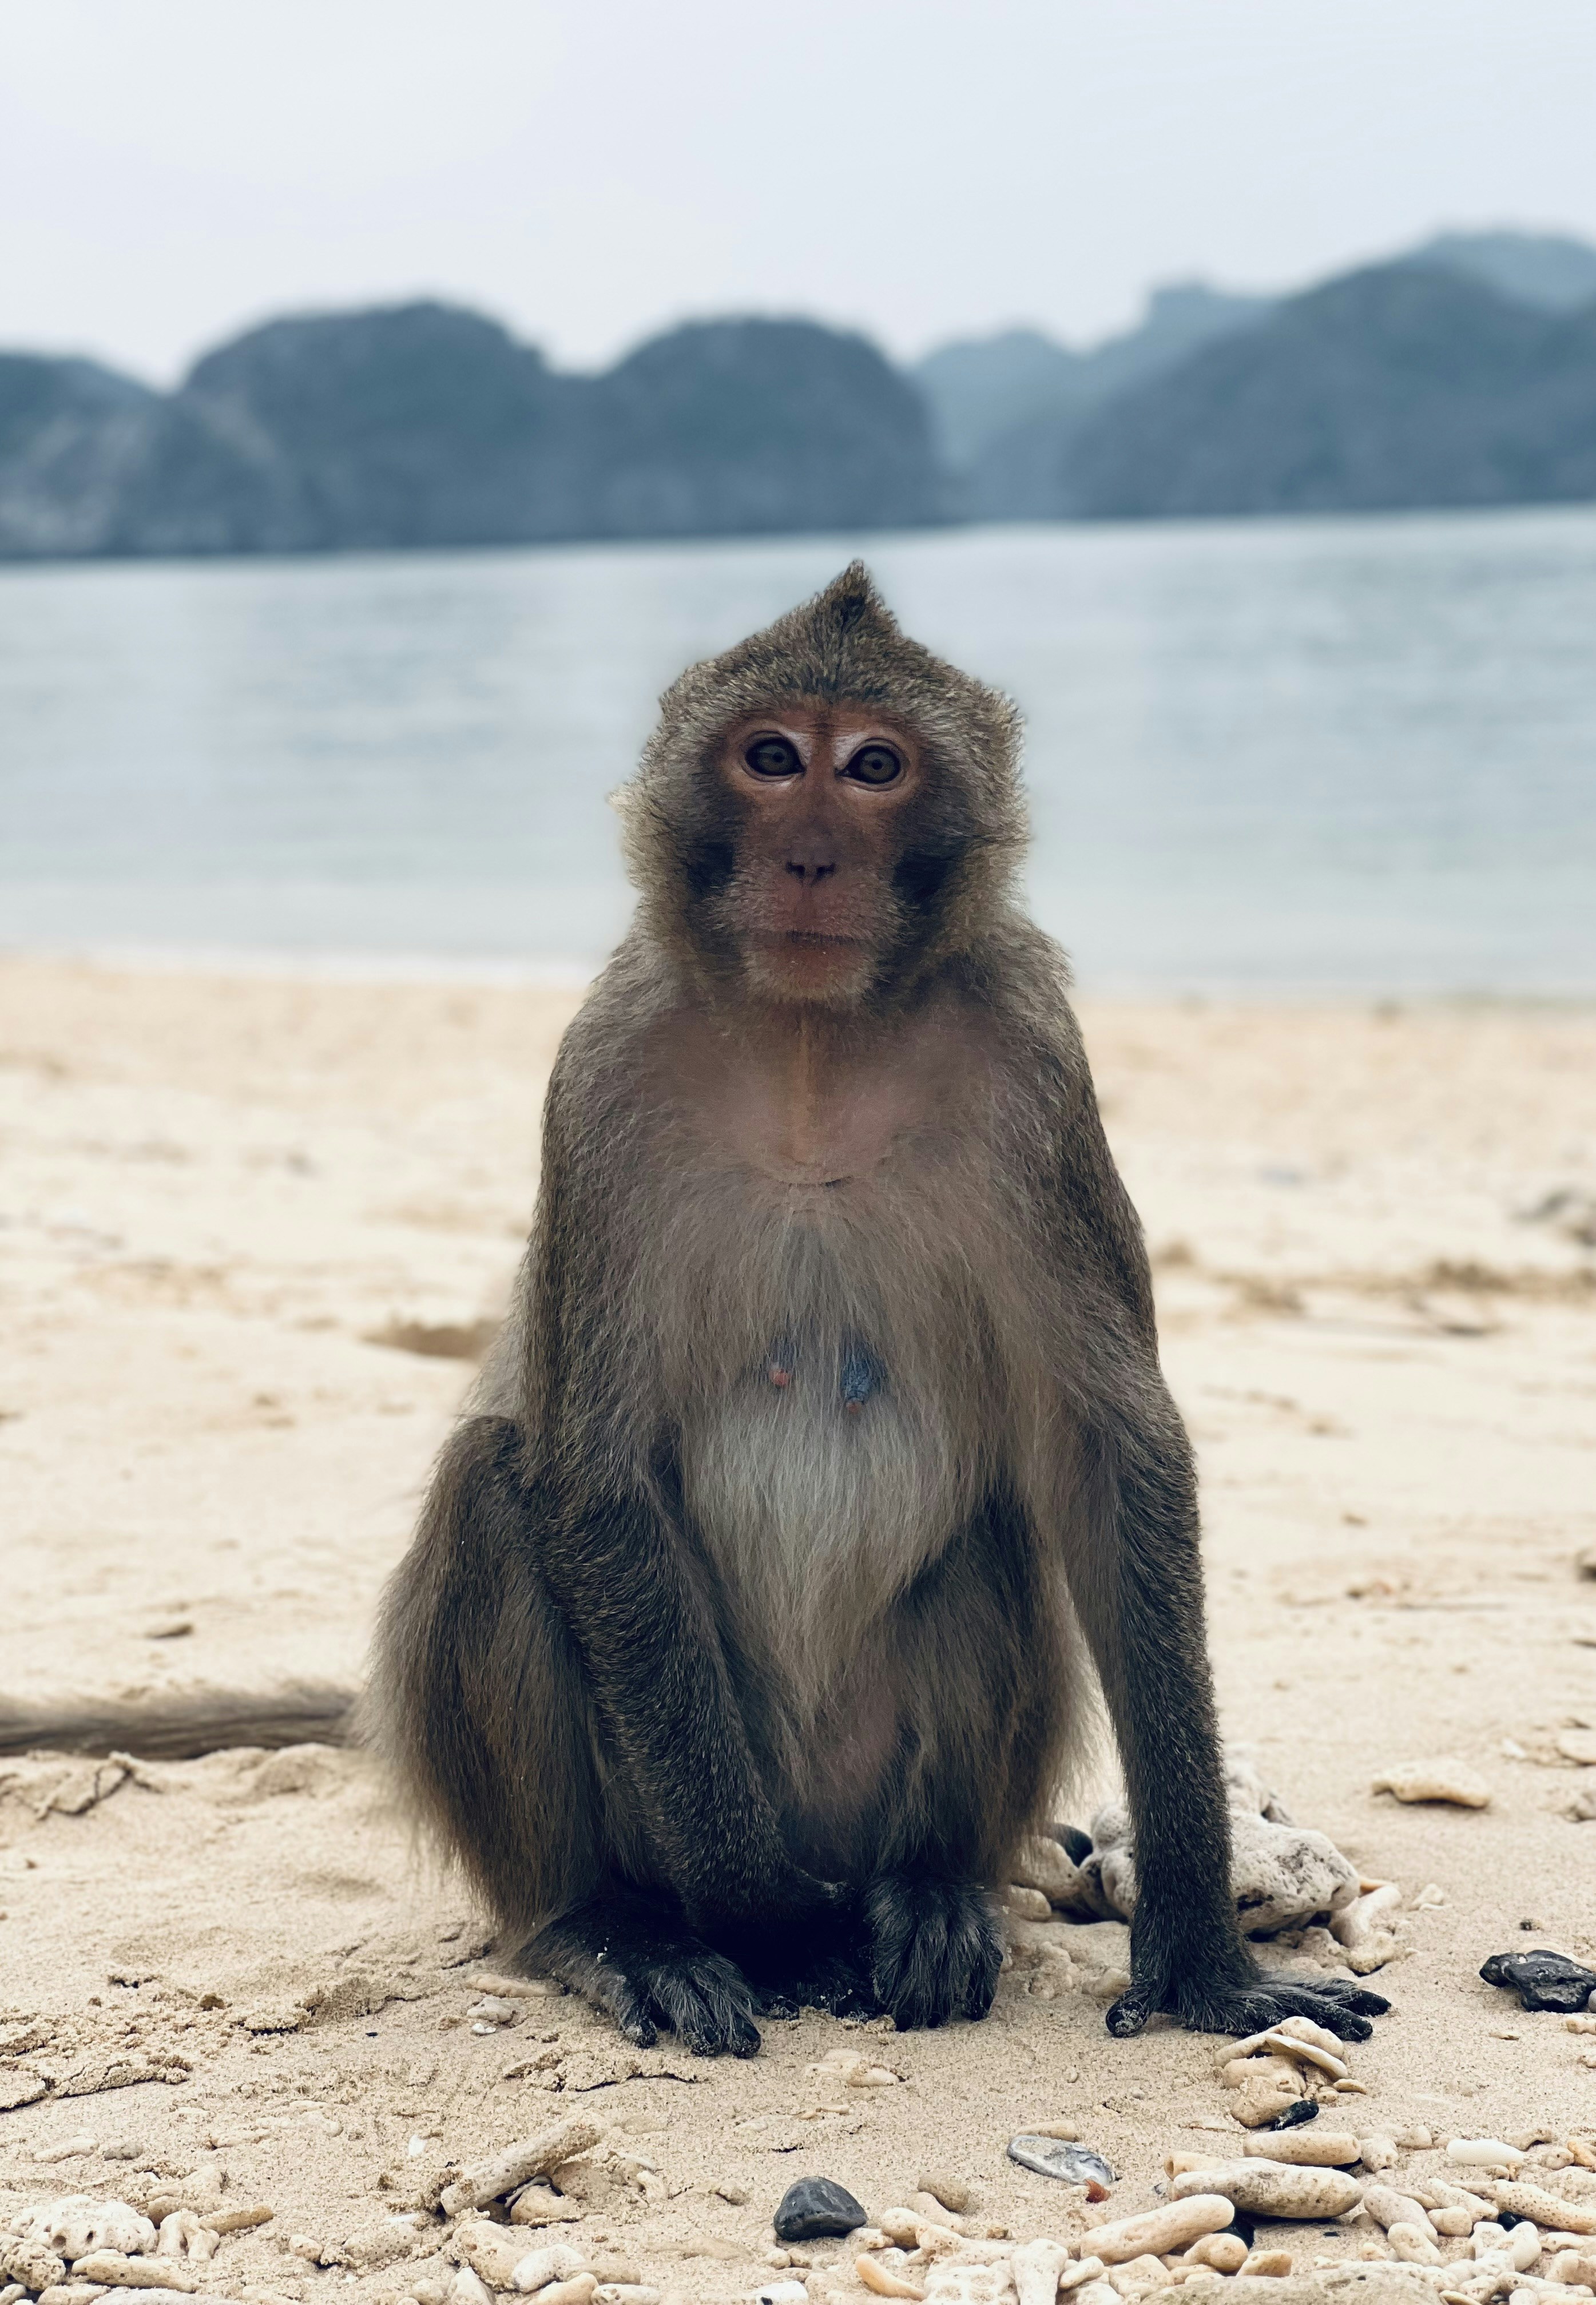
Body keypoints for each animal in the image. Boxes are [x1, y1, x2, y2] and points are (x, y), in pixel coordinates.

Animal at [369, 563, 1389, 2056]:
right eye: (770, 758)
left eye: (871, 767)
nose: (807, 857)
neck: (812, 1050)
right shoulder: (599, 1079)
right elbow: (591, 1478)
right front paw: (765, 1923)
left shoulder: (1035, 1066)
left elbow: (1105, 1454)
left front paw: (1199, 1948)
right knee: (495, 1490)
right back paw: (615, 1924)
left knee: (996, 1527)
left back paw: (925, 1891)